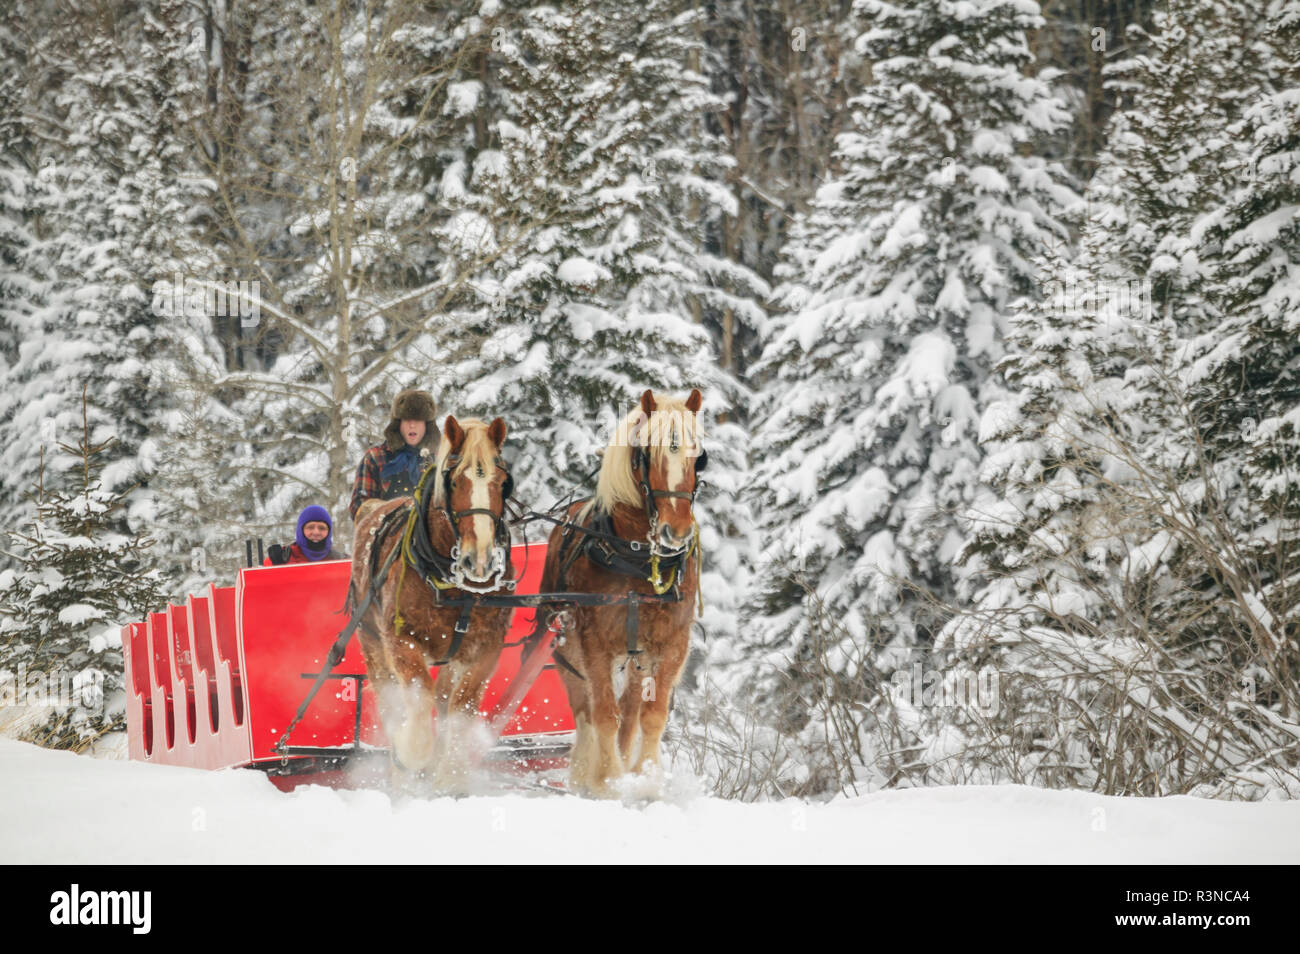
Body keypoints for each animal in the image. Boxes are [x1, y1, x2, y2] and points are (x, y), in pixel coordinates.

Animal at [348, 415, 515, 792]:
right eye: (453, 481)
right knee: (392, 702)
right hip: (372, 642)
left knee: (443, 694)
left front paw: (451, 776)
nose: (479, 562)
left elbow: (461, 706)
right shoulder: (401, 641)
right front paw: (411, 755)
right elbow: (419, 703)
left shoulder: (486, 648)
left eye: (502, 483)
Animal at [537, 388, 705, 797]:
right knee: (585, 711)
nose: (676, 532)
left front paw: (646, 779)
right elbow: (603, 715)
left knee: (630, 711)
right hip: (566, 647)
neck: (637, 559)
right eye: (647, 455)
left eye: (700, 456)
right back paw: (585, 775)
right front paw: (607, 780)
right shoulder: (594, 643)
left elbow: (651, 716)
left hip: (637, 655)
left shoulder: (672, 643)